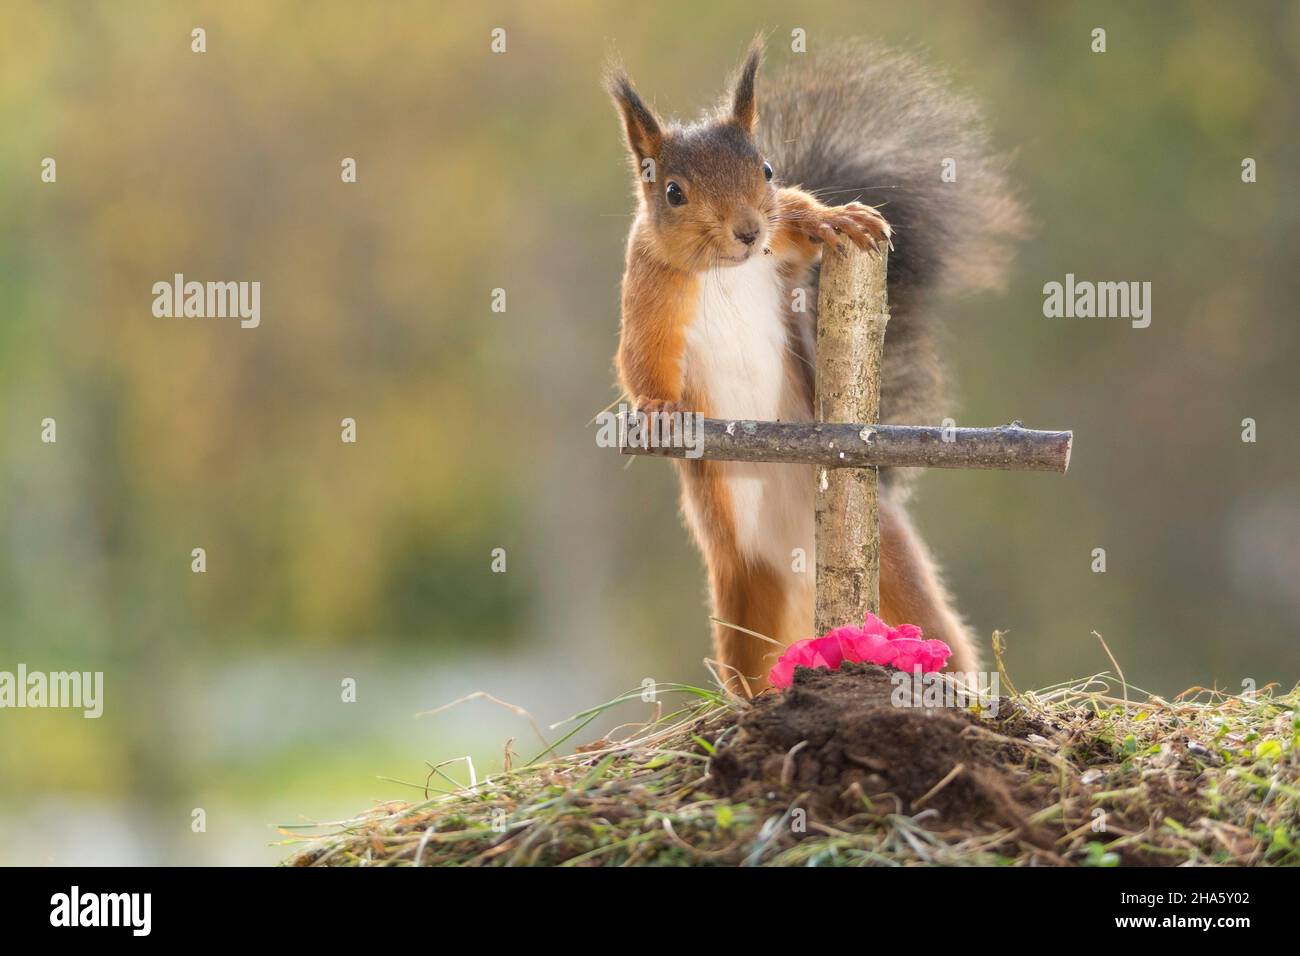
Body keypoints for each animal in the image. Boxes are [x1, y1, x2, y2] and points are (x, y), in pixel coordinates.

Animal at [607, 39, 1025, 695]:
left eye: (767, 170)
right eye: (673, 192)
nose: (748, 230)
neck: (725, 272)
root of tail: (811, 581)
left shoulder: (781, 247)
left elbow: (801, 216)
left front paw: (837, 218)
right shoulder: (650, 296)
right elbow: (640, 357)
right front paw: (654, 410)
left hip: (896, 571)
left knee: (944, 641)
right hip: (746, 593)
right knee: (750, 667)